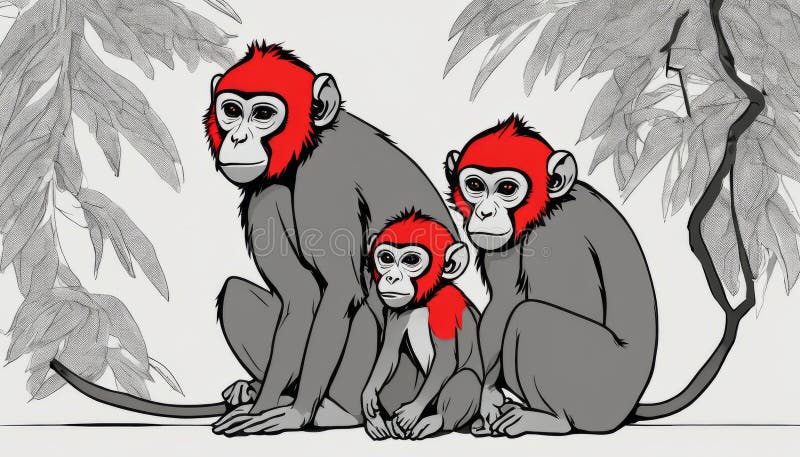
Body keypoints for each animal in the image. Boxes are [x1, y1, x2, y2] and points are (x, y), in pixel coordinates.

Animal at [51, 42, 459, 435]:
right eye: (232, 110)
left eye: (263, 114)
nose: (238, 136)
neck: (306, 146)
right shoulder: (262, 193)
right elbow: (299, 297)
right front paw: (265, 404)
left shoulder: (326, 176)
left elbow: (341, 291)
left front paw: (295, 414)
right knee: (240, 289)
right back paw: (259, 388)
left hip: (399, 386)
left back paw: (337, 412)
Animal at [361, 211, 482, 440]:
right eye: (386, 258)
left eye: (411, 260)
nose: (392, 277)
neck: (425, 301)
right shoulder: (396, 312)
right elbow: (389, 353)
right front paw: (368, 396)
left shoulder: (446, 308)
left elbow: (445, 360)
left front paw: (412, 411)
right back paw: (379, 424)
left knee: (466, 379)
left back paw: (434, 422)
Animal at [445, 115, 657, 437]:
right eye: (475, 185)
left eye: (507, 188)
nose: (484, 213)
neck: (547, 208)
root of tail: (629, 409)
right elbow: (502, 303)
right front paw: (489, 398)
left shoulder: (559, 238)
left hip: (600, 391)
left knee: (532, 317)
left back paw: (552, 420)